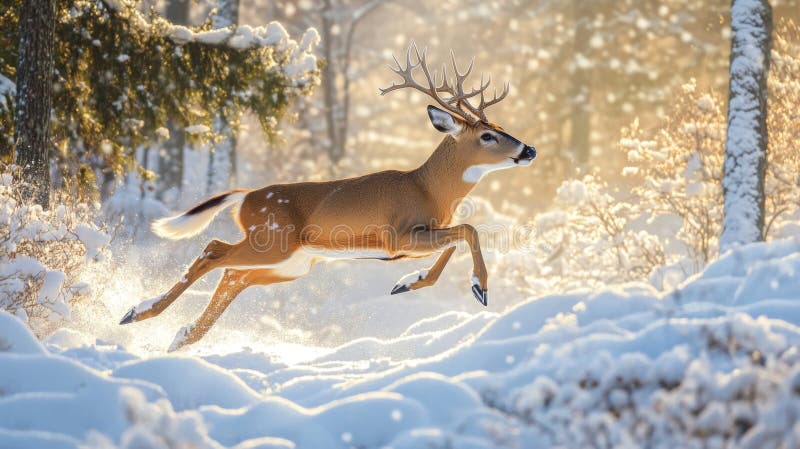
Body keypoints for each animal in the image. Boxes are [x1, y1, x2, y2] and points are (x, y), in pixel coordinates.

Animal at [118, 43, 536, 351]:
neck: (429, 190)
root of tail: (244, 197)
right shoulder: (398, 234)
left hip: (293, 263)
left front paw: (407, 282)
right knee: (212, 250)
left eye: (501, 126)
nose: (529, 149)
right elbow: (468, 230)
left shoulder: (409, 241)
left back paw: (182, 337)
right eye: (487, 136)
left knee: (234, 275)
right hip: (272, 239)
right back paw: (137, 313)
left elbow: (454, 241)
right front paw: (480, 288)